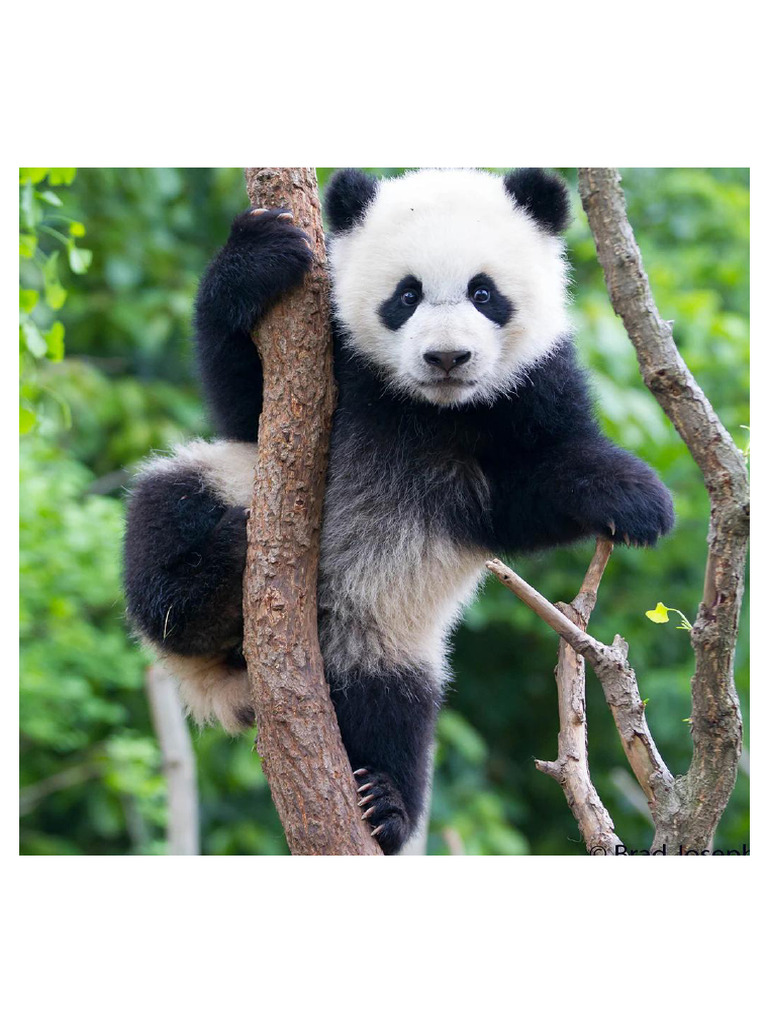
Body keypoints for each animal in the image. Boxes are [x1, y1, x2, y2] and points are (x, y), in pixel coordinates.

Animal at [124, 168, 674, 855]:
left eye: (484, 293)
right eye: (406, 296)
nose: (447, 358)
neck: (427, 408)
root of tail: (231, 674)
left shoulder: (531, 389)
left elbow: (530, 494)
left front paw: (636, 499)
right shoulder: (328, 362)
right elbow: (242, 403)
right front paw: (258, 255)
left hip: (385, 637)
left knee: (392, 709)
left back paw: (384, 803)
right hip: (217, 485)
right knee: (163, 525)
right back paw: (214, 576)